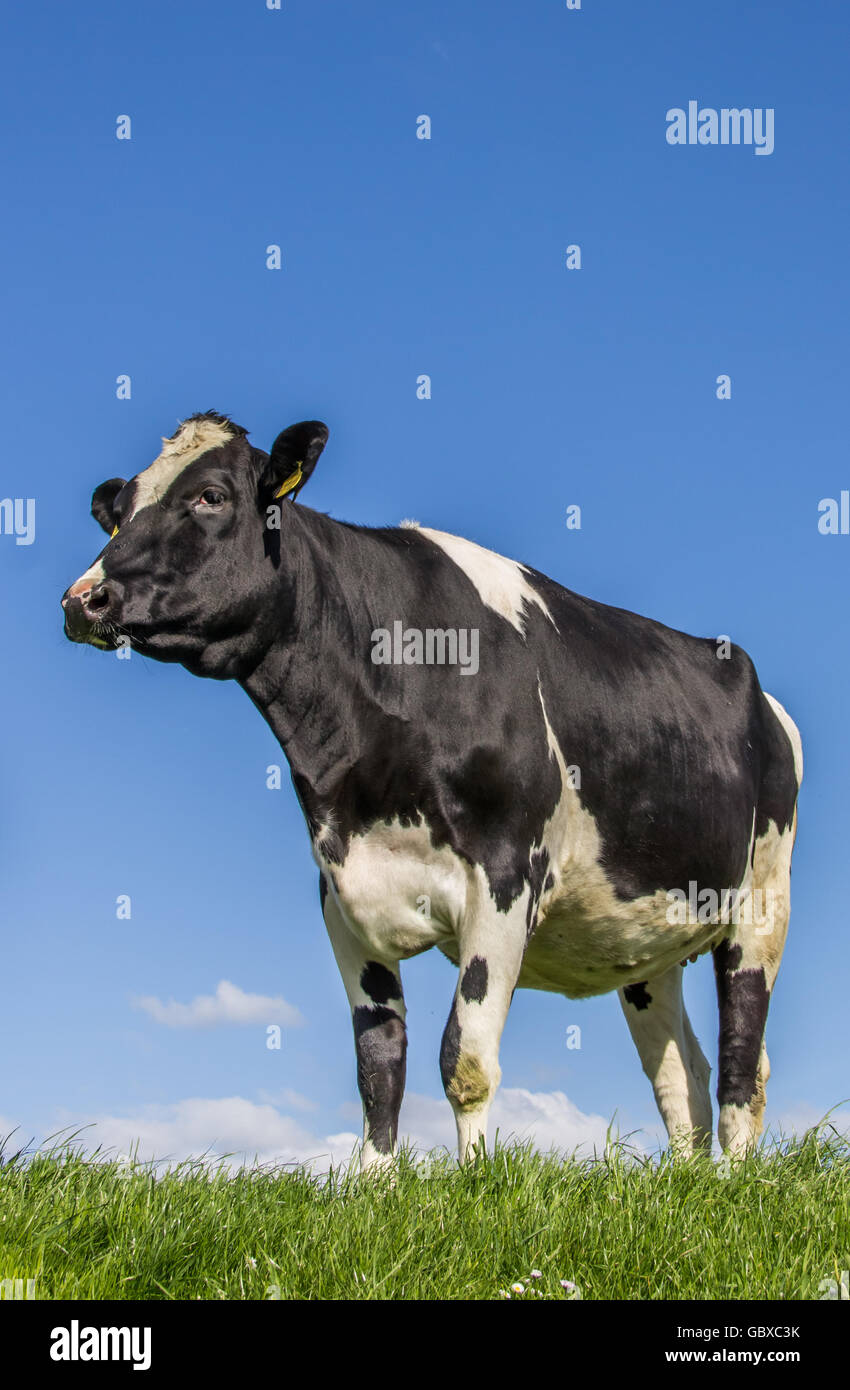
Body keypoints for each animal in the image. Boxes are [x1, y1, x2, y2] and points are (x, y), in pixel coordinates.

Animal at [62, 411, 802, 1168]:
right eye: (117, 513)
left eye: (210, 496)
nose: (83, 599)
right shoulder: (341, 894)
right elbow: (379, 1068)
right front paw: (375, 1181)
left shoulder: (505, 877)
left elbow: (465, 1059)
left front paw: (475, 1178)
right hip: (646, 941)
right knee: (682, 1075)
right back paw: (689, 1180)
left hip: (762, 900)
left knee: (743, 1060)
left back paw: (734, 1177)